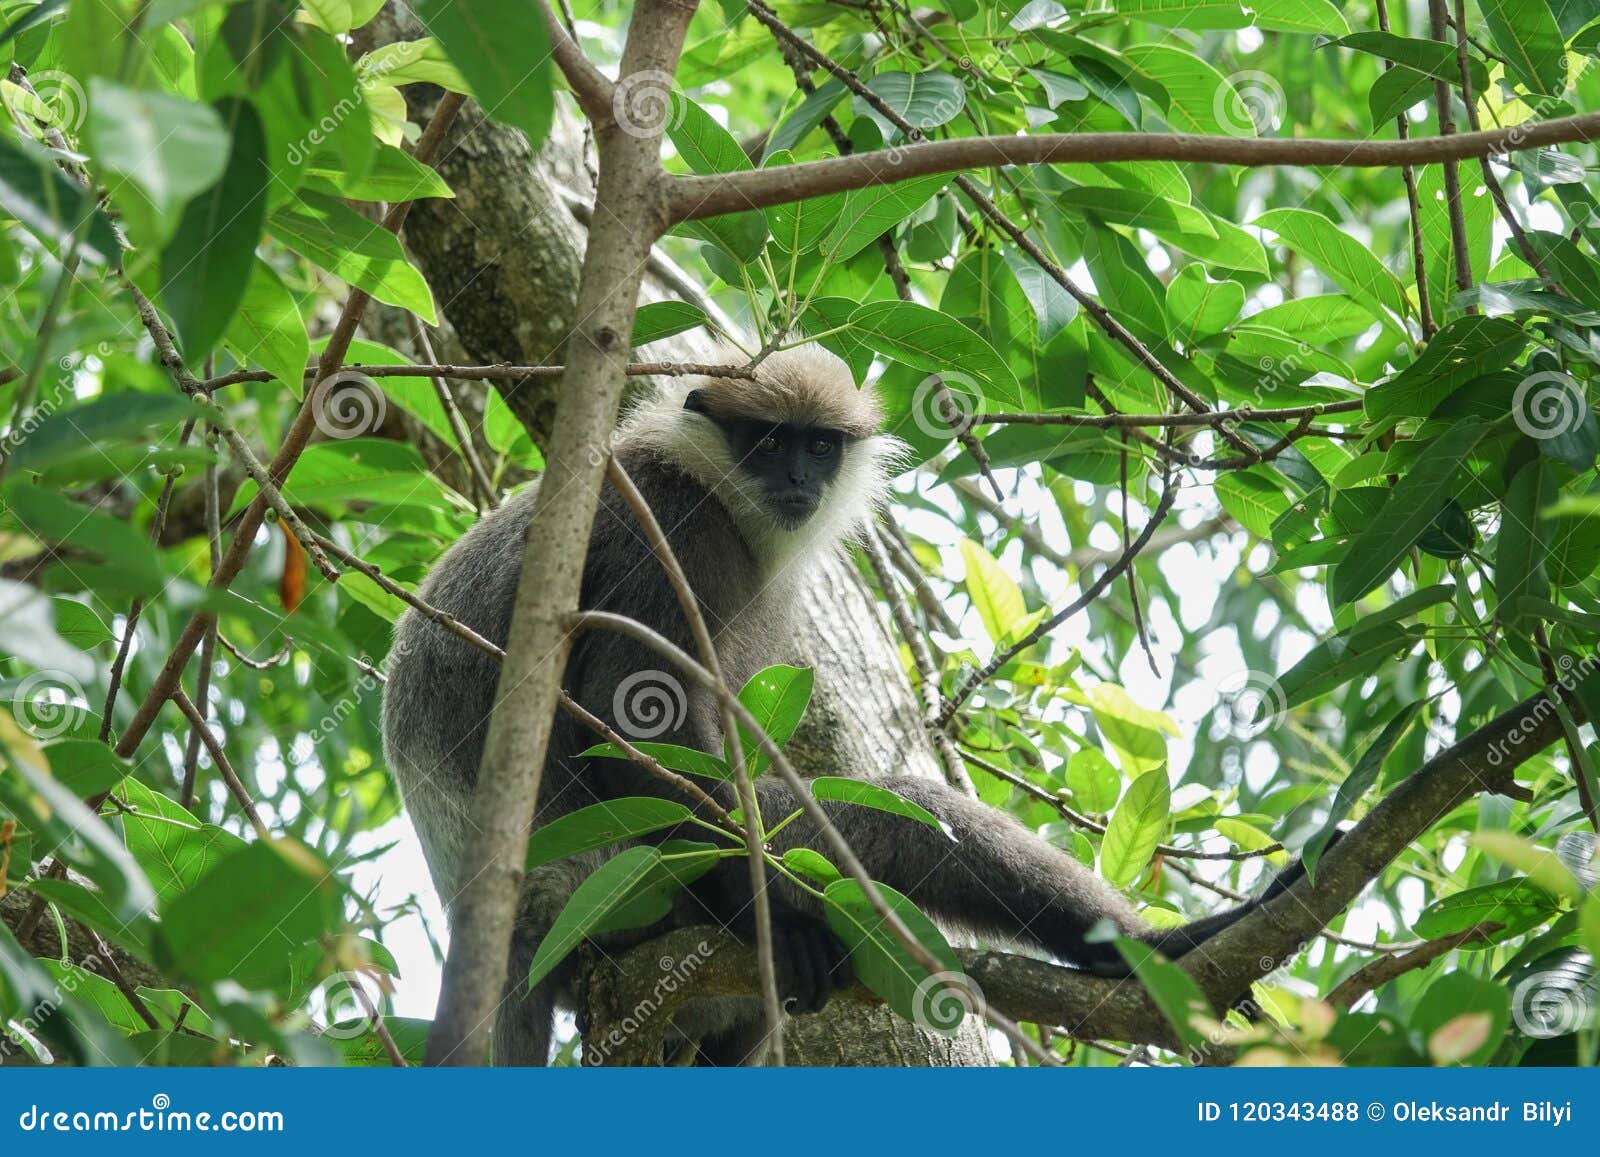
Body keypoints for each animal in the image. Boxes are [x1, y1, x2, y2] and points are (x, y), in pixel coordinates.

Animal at [382, 344, 1292, 1066]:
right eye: (769, 440)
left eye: (818, 446)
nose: (796, 478)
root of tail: (519, 920)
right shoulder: (668, 529)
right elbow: (627, 719)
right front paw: (781, 925)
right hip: (624, 887)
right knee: (893, 817)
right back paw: (1155, 946)